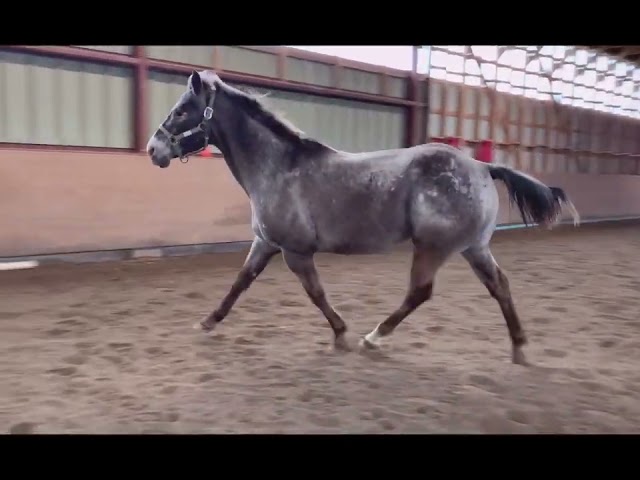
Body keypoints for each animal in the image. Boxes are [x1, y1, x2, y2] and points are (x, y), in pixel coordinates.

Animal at [145, 70, 580, 366]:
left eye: (182, 110)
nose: (153, 149)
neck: (279, 166)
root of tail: (481, 166)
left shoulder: (295, 251)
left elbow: (316, 293)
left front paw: (342, 335)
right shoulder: (266, 242)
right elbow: (240, 283)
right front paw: (208, 322)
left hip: (433, 247)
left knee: (420, 292)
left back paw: (374, 337)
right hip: (474, 247)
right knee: (500, 286)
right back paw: (520, 348)